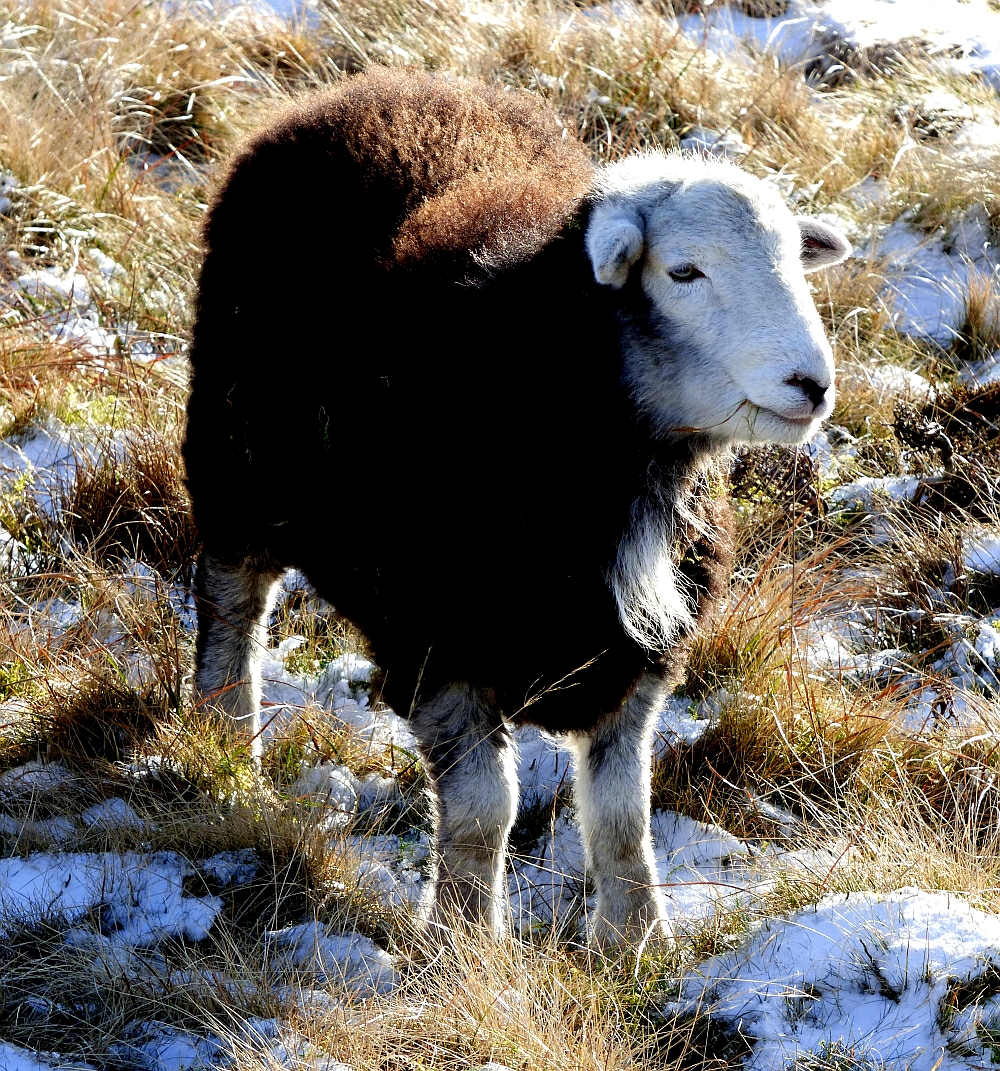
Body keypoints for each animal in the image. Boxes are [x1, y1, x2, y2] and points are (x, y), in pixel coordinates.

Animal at [183, 68, 851, 947]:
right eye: (684, 272)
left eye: (794, 265)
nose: (813, 383)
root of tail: (368, 88)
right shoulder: (436, 636)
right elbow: (482, 812)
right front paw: (463, 938)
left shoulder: (633, 652)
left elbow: (621, 818)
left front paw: (635, 940)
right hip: (238, 461)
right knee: (233, 605)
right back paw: (226, 745)